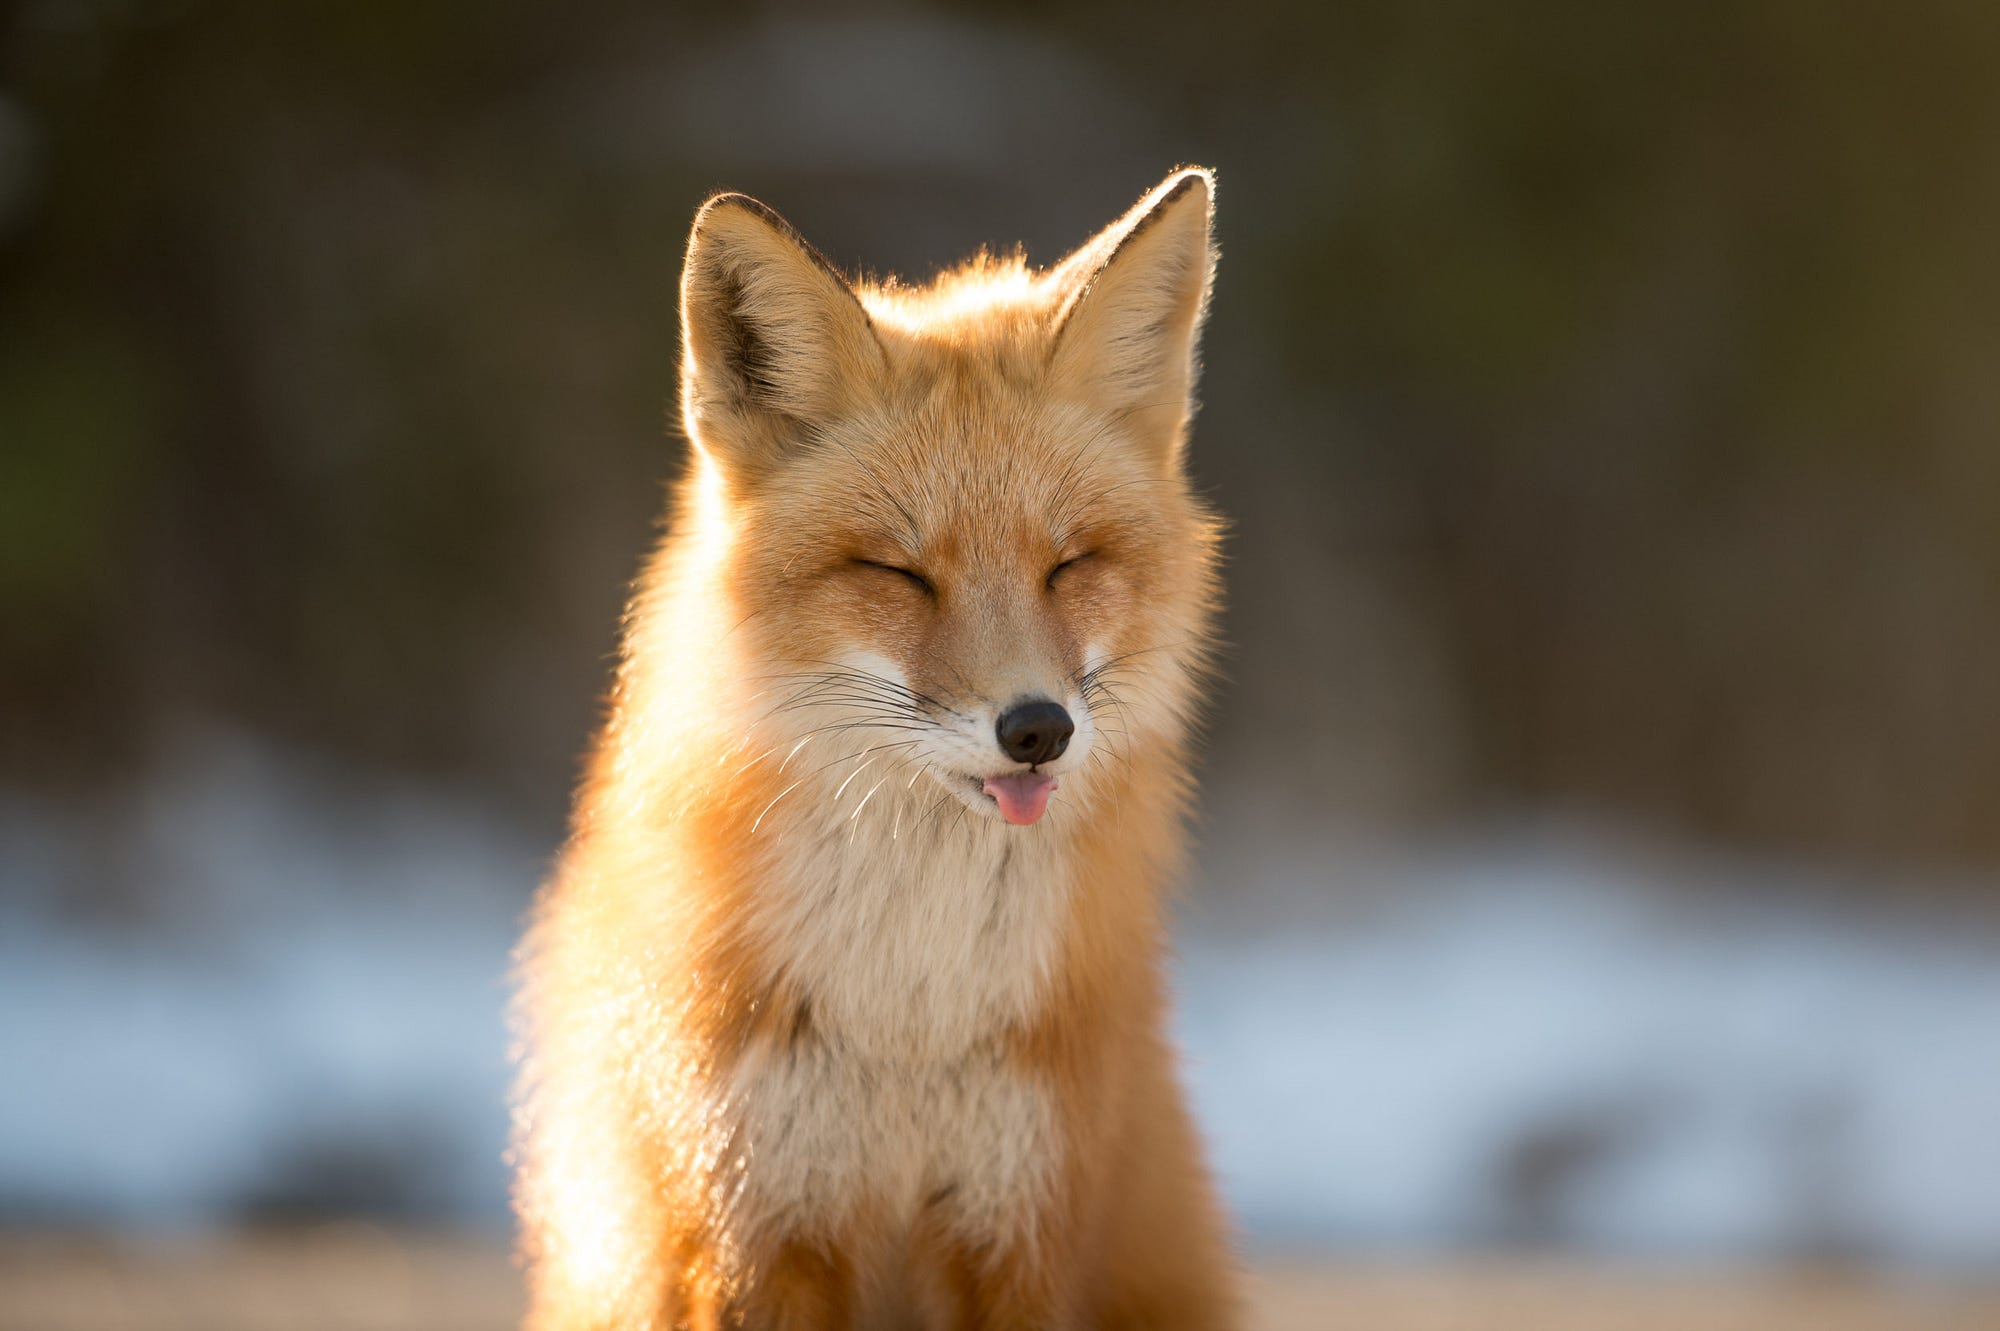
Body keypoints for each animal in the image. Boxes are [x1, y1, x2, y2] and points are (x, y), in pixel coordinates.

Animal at [512, 167, 1235, 1330]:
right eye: (900, 574)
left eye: (1068, 564)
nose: (1038, 728)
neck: (908, 1028)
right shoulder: (756, 1221)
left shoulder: (1020, 1221)